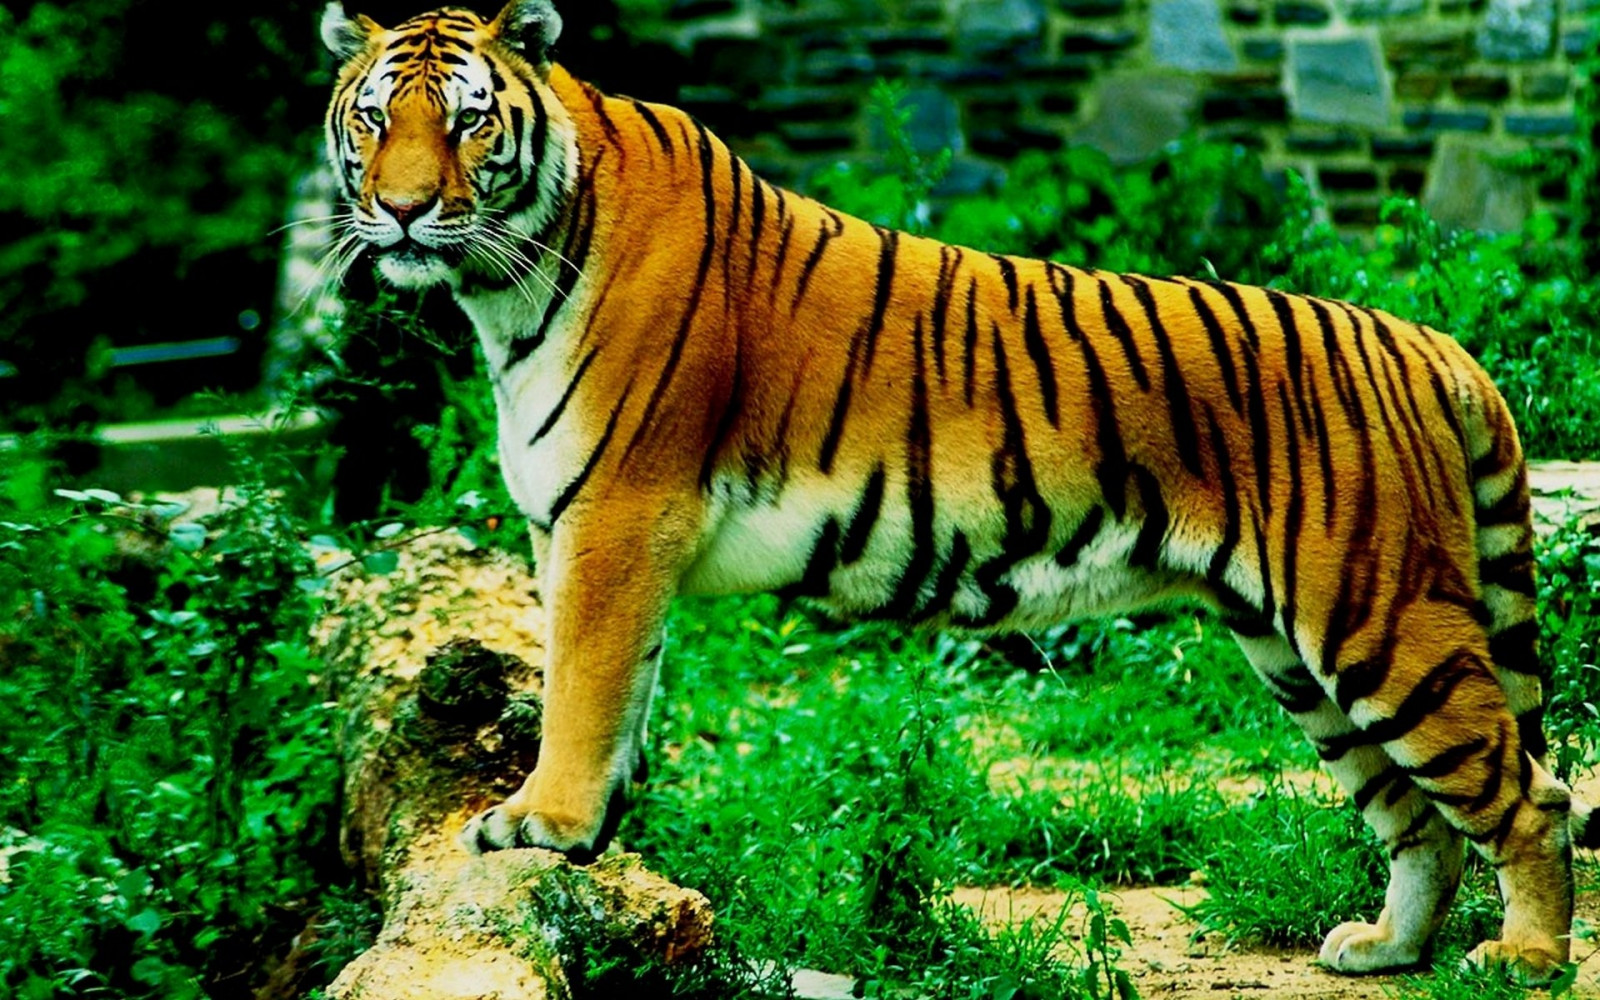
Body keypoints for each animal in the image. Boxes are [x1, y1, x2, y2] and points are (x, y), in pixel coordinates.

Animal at [320, 0, 1589, 981]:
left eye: (468, 118)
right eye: (374, 118)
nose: (402, 208)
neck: (505, 281)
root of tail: (1424, 339)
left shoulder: (618, 515)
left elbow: (581, 686)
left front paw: (544, 822)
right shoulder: (589, 530)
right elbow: (619, 688)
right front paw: (595, 836)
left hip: (1382, 620)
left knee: (1530, 792)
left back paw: (1523, 958)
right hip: (1297, 653)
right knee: (1418, 816)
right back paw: (1386, 949)